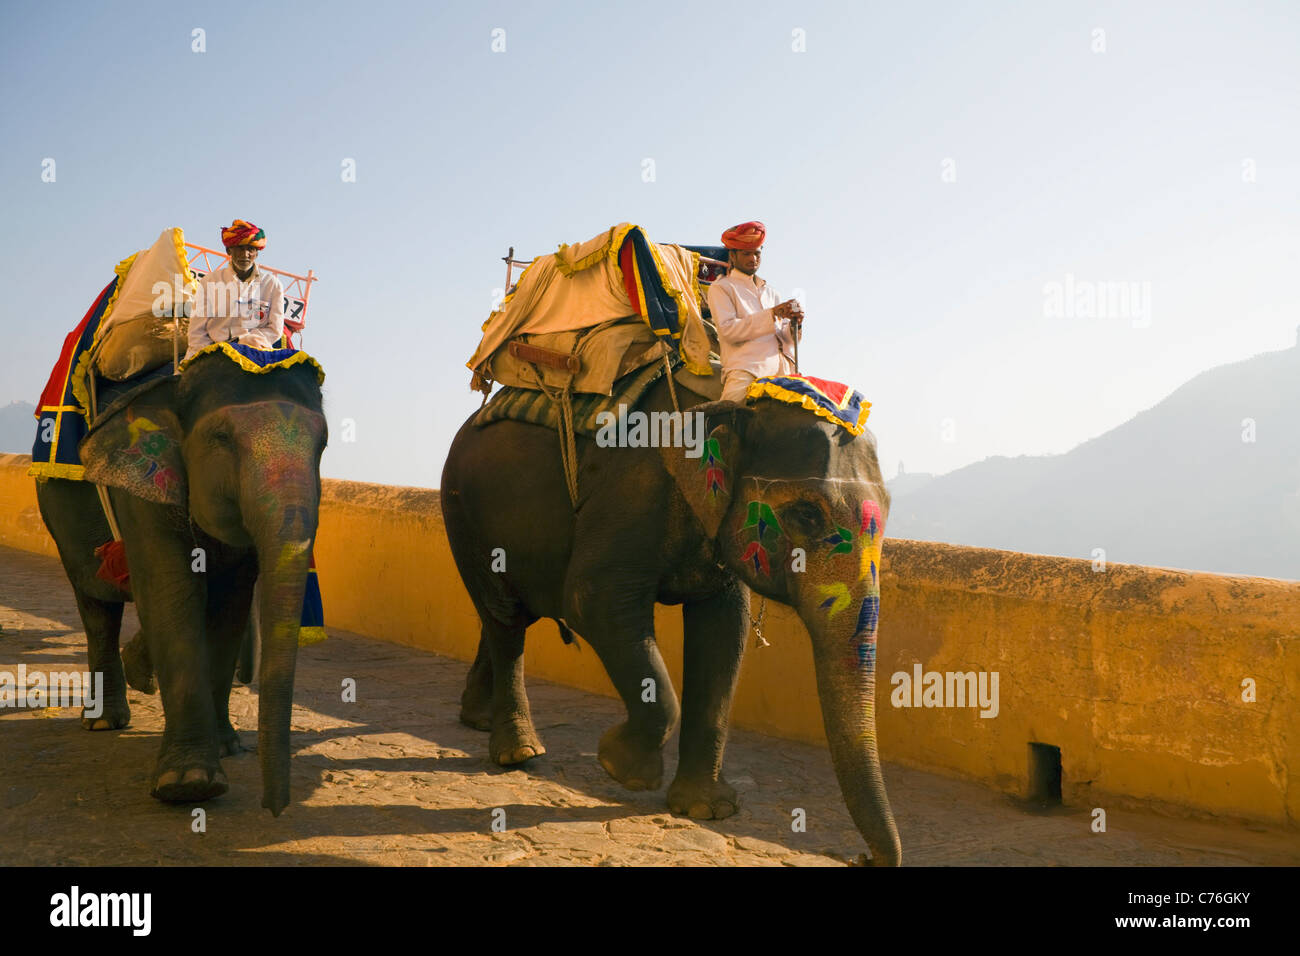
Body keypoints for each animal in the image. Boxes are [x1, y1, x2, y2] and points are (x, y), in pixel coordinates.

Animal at [36, 350, 327, 814]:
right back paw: (103, 722)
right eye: (222, 438)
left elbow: (229, 605)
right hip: (61, 515)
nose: (273, 807)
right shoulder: (141, 484)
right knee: (97, 606)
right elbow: (169, 589)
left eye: (323, 444)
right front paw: (189, 785)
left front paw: (227, 748)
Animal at [440, 373, 901, 865]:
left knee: (504, 620)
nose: (860, 858)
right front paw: (620, 766)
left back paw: (479, 719)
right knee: (504, 618)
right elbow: (591, 601)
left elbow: (725, 632)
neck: (732, 404)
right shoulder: (633, 491)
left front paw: (705, 809)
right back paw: (519, 753)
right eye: (807, 513)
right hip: (464, 514)